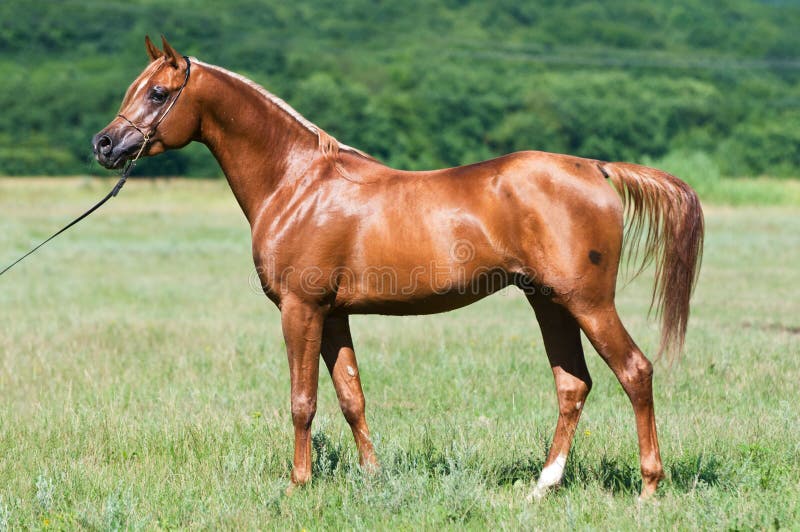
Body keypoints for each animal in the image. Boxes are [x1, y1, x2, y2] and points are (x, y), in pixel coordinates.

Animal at [92, 36, 703, 500]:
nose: (105, 144)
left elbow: (302, 402)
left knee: (635, 371)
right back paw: (542, 486)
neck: (298, 184)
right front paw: (372, 477)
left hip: (587, 302)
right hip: (548, 301)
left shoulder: (300, 310)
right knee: (573, 385)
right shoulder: (334, 316)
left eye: (158, 92)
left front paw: (297, 485)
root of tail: (596, 169)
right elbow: (351, 398)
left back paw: (649, 488)